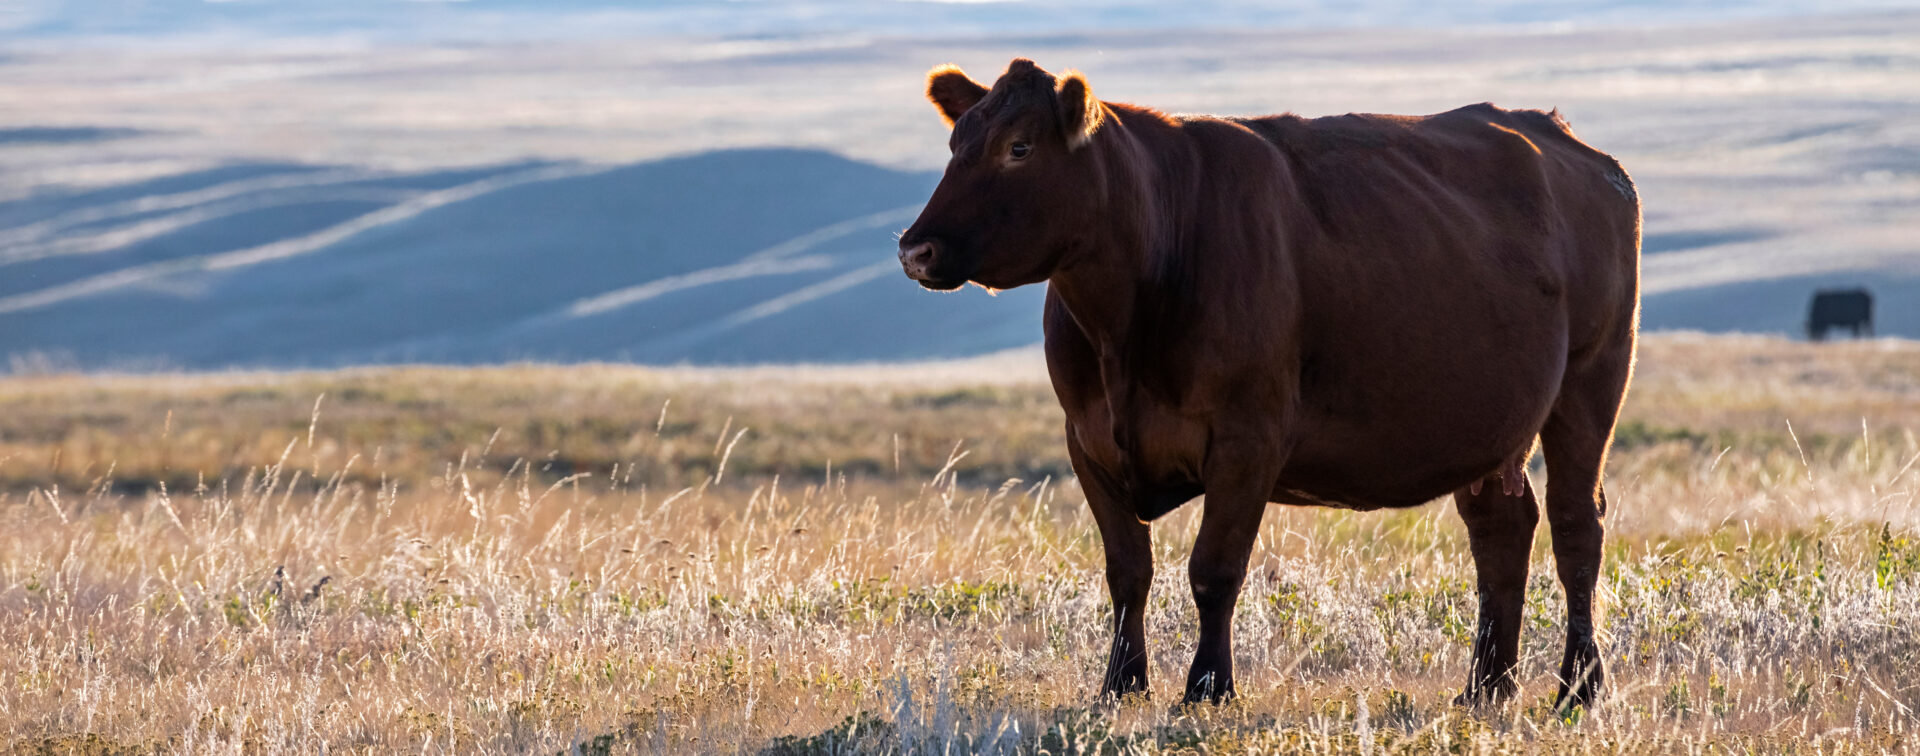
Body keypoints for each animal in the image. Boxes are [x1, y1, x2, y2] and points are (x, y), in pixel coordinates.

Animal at [896, 58, 1642, 709]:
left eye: (1018, 147)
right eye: (957, 142)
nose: (916, 248)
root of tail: (1577, 148)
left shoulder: (1247, 439)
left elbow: (1214, 569)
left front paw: (1208, 687)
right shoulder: (1088, 441)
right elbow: (1127, 571)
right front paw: (1122, 684)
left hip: (1591, 379)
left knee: (1577, 527)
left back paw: (1579, 688)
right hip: (1488, 418)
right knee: (1501, 529)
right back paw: (1486, 688)